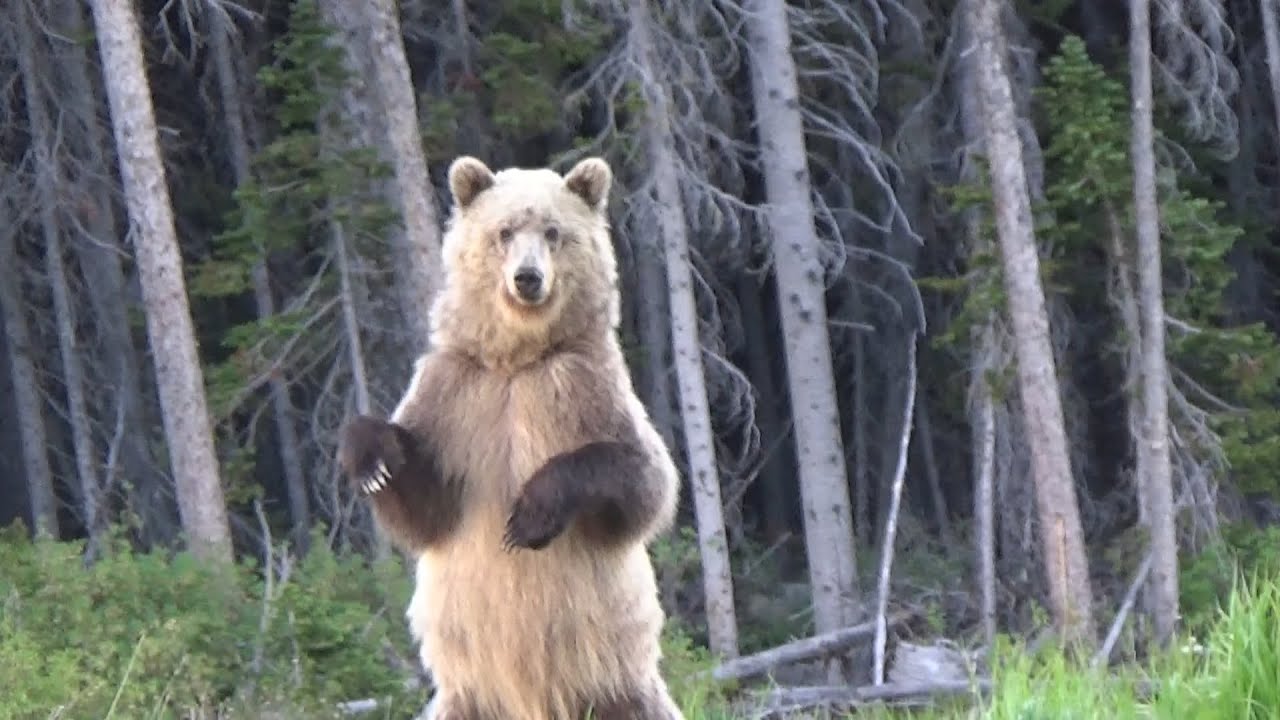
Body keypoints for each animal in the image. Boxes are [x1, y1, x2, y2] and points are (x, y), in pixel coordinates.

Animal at [336, 155, 685, 720]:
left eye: (553, 231)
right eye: (503, 231)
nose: (528, 278)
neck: (516, 361)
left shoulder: (585, 384)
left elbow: (643, 483)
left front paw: (529, 516)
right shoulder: (457, 396)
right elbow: (426, 512)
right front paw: (373, 458)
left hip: (617, 681)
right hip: (467, 699)